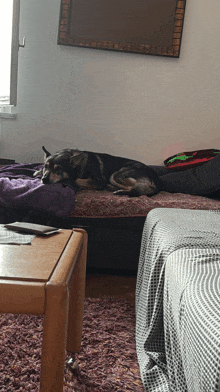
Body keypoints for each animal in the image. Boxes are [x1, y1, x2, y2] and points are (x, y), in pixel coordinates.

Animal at [34, 146, 162, 198]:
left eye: (58, 169)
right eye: (46, 167)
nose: (44, 179)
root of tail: (156, 179)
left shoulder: (100, 181)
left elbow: (76, 180)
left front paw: (69, 181)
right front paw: (37, 172)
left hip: (115, 175)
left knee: (135, 187)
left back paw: (117, 190)